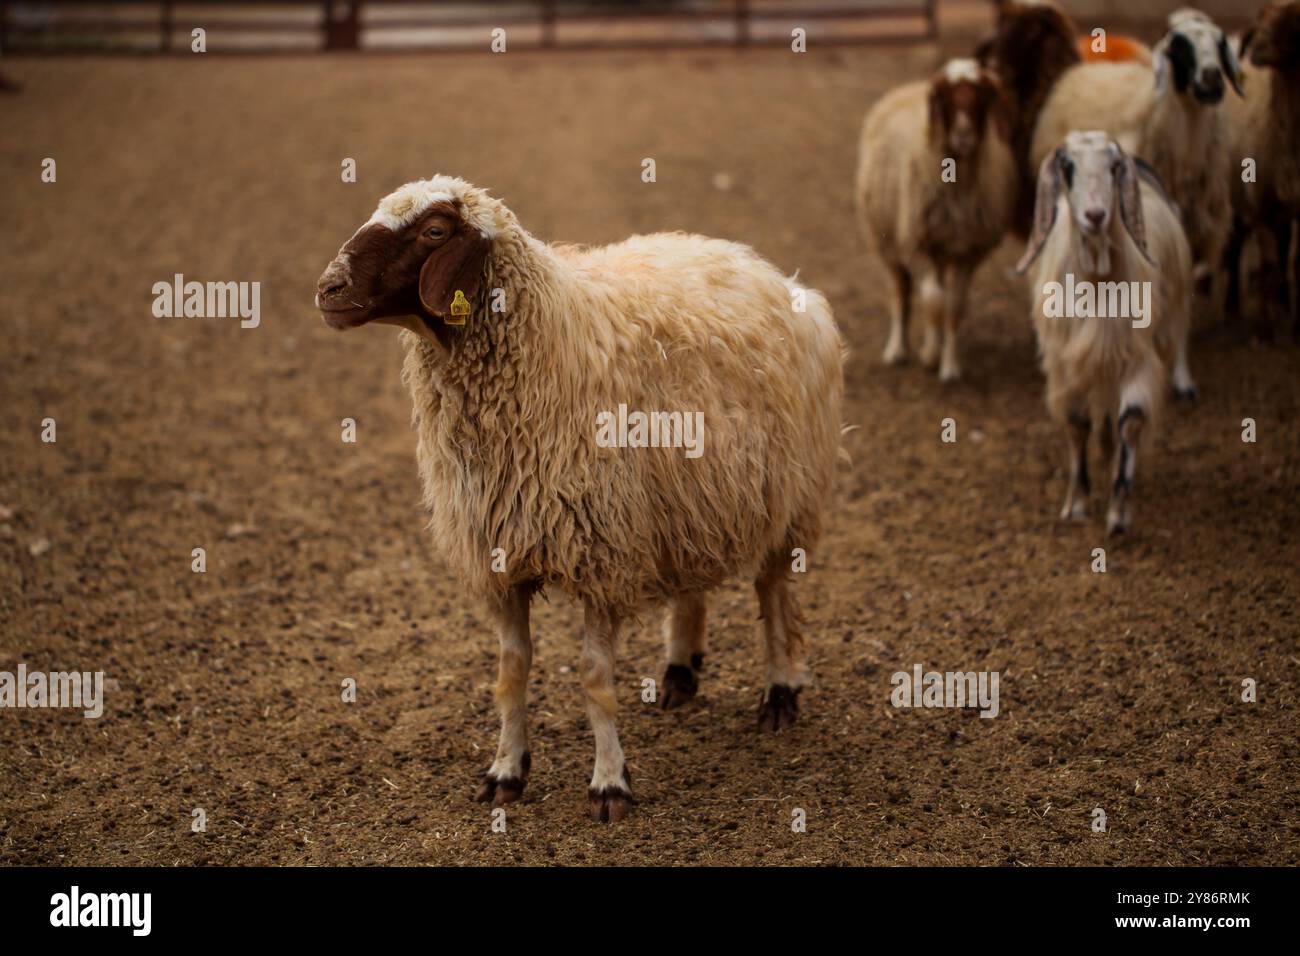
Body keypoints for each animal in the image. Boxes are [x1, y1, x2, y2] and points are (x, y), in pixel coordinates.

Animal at [314, 175, 845, 823]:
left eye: (435, 231)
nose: (328, 290)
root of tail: (763, 267)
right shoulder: (502, 558)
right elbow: (512, 672)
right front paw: (506, 770)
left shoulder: (601, 557)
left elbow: (594, 680)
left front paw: (610, 782)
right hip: (690, 495)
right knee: (692, 583)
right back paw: (679, 670)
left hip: (787, 494)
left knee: (774, 594)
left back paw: (779, 692)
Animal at [855, 58, 1017, 382]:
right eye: (945, 99)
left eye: (981, 96)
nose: (964, 136)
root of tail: (907, 87)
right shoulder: (917, 244)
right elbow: (932, 299)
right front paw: (930, 356)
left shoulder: (968, 252)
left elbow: (953, 307)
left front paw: (950, 366)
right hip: (888, 241)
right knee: (901, 292)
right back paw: (898, 349)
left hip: (944, 251)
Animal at [1016, 131, 1194, 535]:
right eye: (1067, 166)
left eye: (1113, 166)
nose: (1095, 216)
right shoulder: (1068, 363)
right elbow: (1077, 424)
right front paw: (1077, 503)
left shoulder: (1137, 355)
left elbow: (1132, 420)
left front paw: (1118, 513)